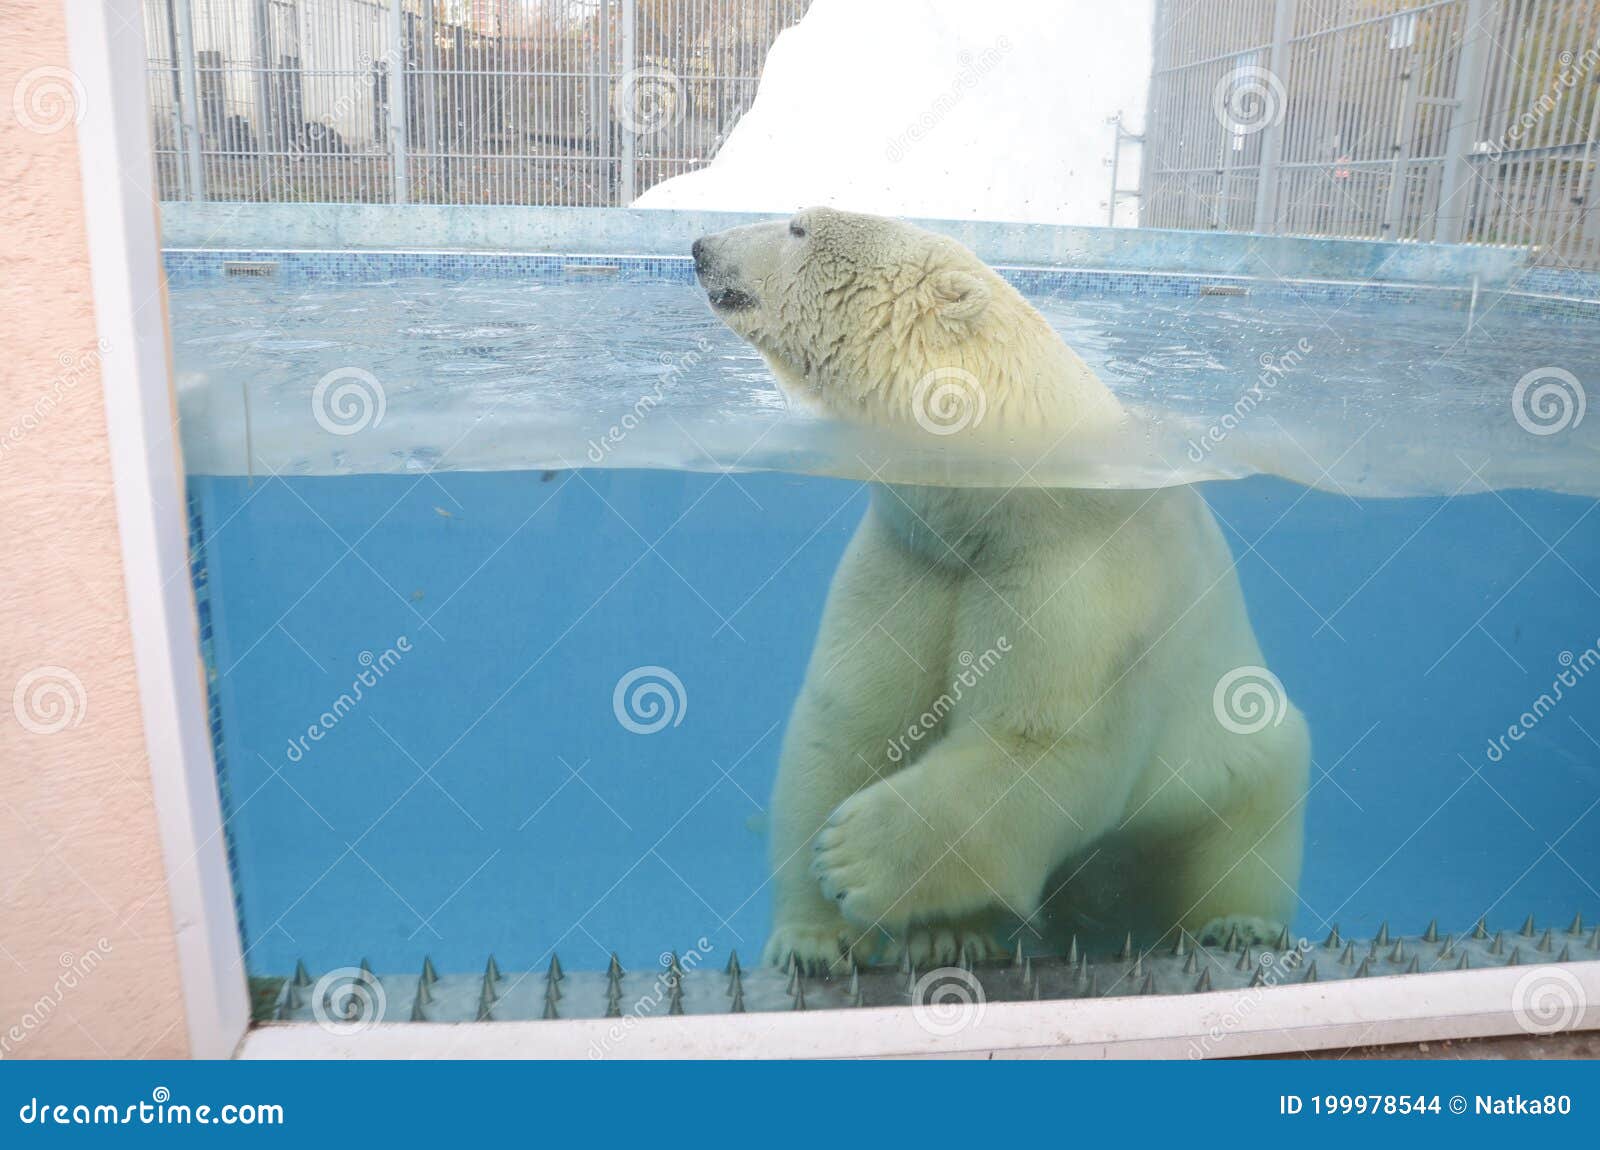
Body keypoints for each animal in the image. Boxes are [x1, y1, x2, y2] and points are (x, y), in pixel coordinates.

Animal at [692, 207, 1311, 972]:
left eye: (798, 227)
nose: (699, 247)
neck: (996, 496)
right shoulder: (915, 556)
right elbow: (849, 721)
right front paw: (813, 939)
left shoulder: (1085, 573)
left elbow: (1043, 742)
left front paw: (856, 855)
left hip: (1249, 766)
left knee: (1238, 848)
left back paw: (1238, 926)